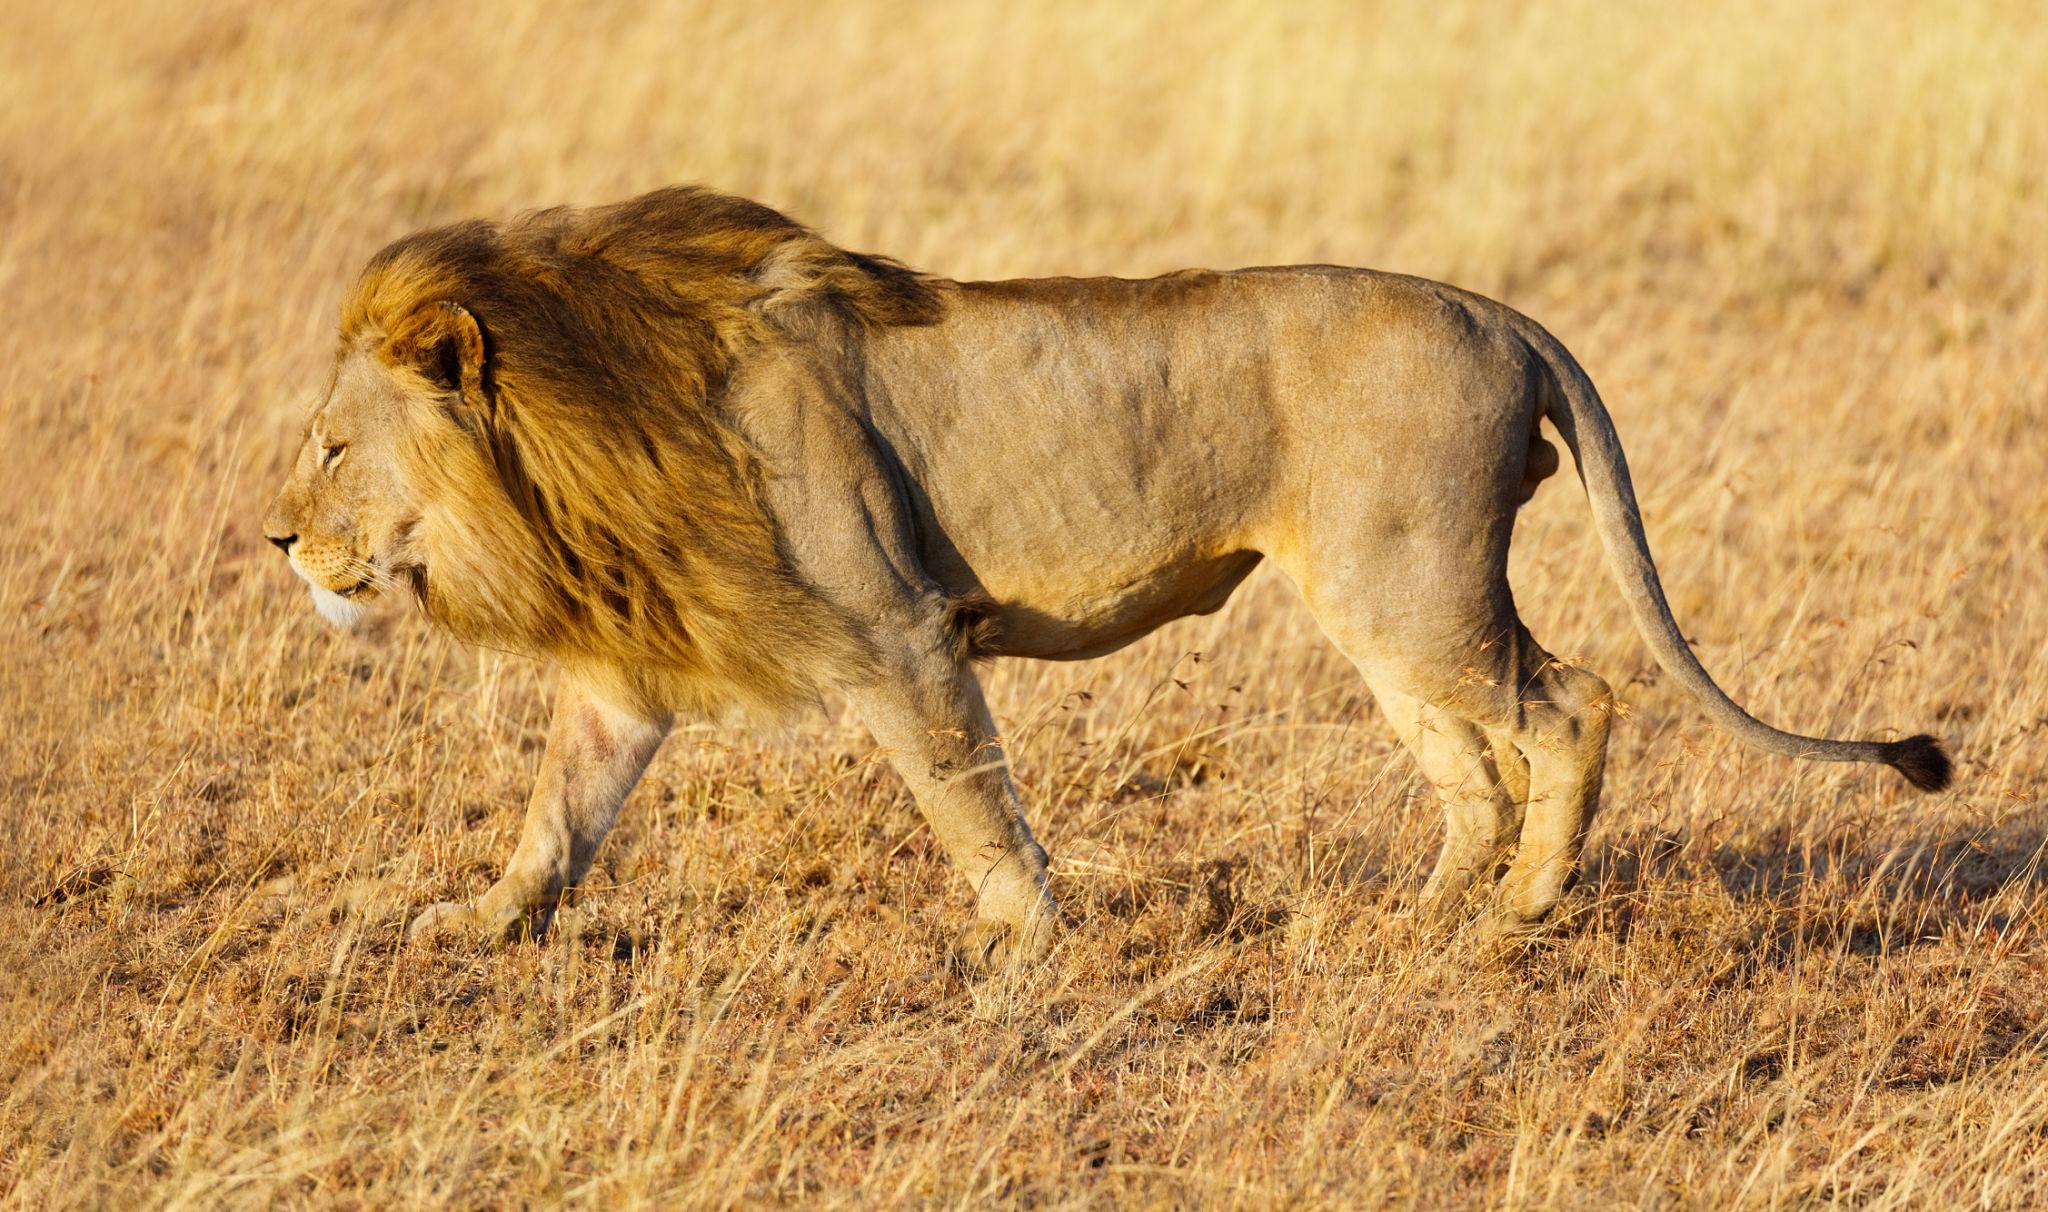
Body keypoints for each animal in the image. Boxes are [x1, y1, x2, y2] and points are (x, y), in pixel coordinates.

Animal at [262, 186, 1952, 966]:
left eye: (332, 447)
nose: (275, 541)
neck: (588, 426)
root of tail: (1500, 311)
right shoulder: (628, 677)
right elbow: (560, 818)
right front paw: (472, 924)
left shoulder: (898, 634)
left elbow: (966, 798)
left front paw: (1025, 943)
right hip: (1376, 604)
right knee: (1471, 769)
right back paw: (1403, 922)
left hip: (1417, 591)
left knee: (1576, 706)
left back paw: (1522, 912)